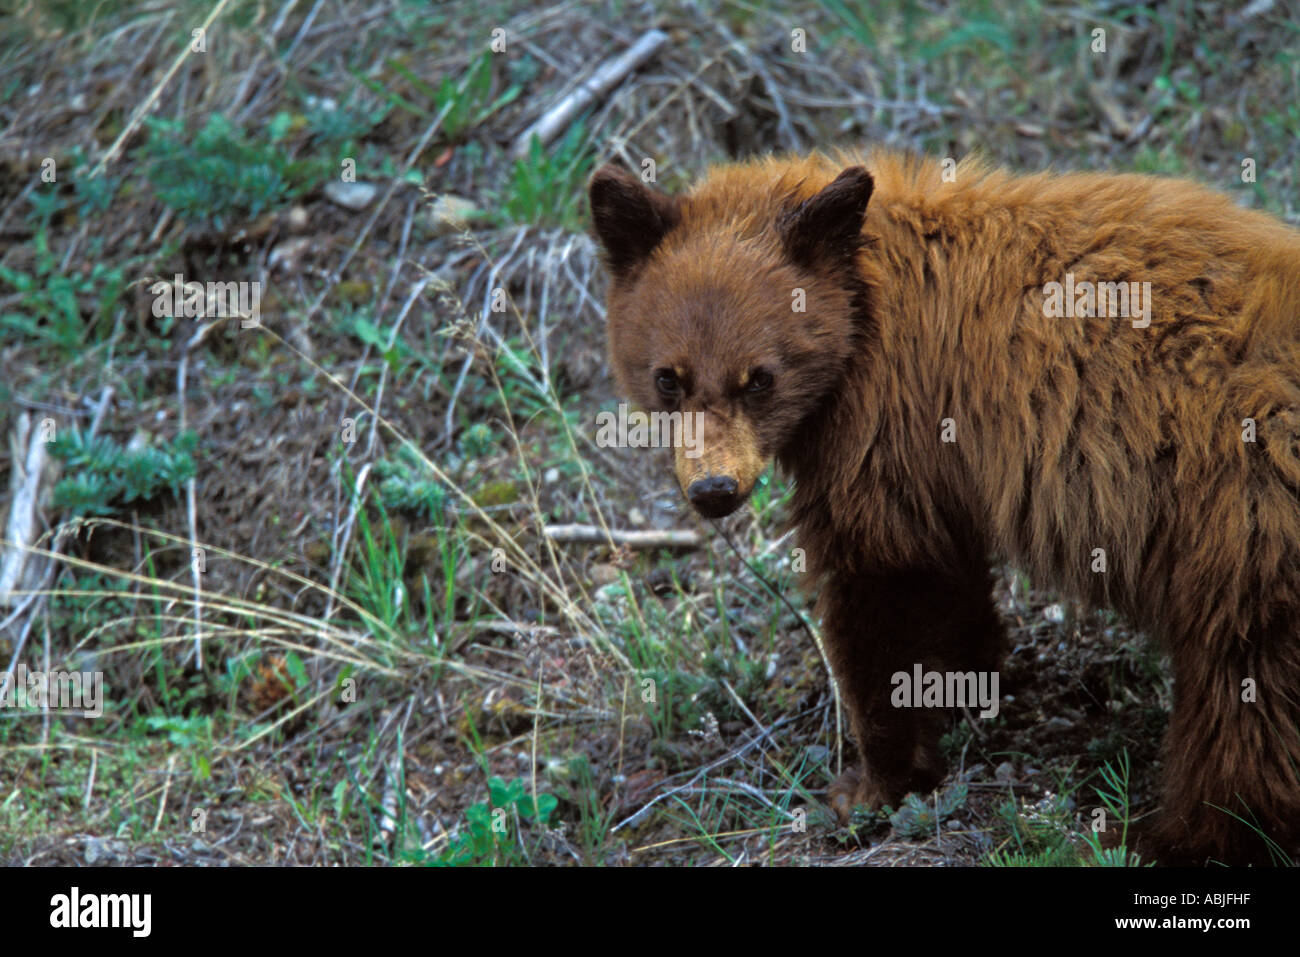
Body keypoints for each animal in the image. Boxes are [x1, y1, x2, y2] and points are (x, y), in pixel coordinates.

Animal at [588, 150, 1300, 866]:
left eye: (759, 378)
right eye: (668, 378)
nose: (715, 490)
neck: (864, 296)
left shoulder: (887, 421)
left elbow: (887, 580)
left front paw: (874, 784)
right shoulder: (938, 463)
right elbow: (949, 576)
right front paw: (968, 682)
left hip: (1240, 523)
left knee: (1245, 702)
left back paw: (1181, 835)